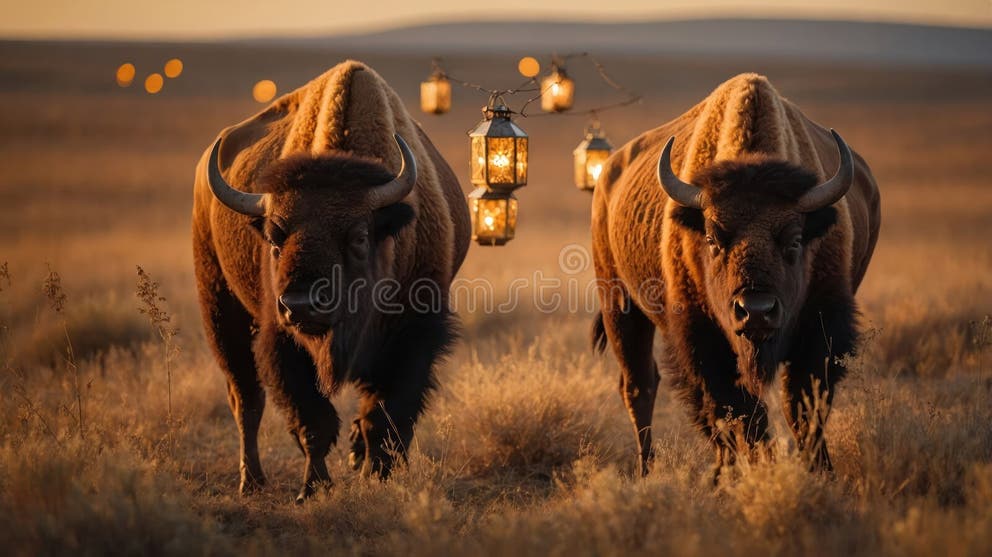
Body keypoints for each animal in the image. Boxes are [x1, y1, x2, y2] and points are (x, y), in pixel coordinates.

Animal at [192, 61, 470, 501]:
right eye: (274, 238)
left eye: (358, 236)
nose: (302, 305)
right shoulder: (282, 342)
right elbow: (314, 423)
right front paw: (312, 489)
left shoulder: (413, 337)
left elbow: (384, 418)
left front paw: (377, 477)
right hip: (219, 305)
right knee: (246, 400)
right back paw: (250, 482)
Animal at [591, 73, 881, 476]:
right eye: (713, 239)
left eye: (794, 240)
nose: (755, 310)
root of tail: (606, 180)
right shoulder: (702, 337)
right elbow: (736, 410)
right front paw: (748, 470)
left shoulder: (821, 328)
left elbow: (803, 406)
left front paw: (819, 471)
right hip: (619, 303)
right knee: (639, 386)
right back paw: (648, 470)